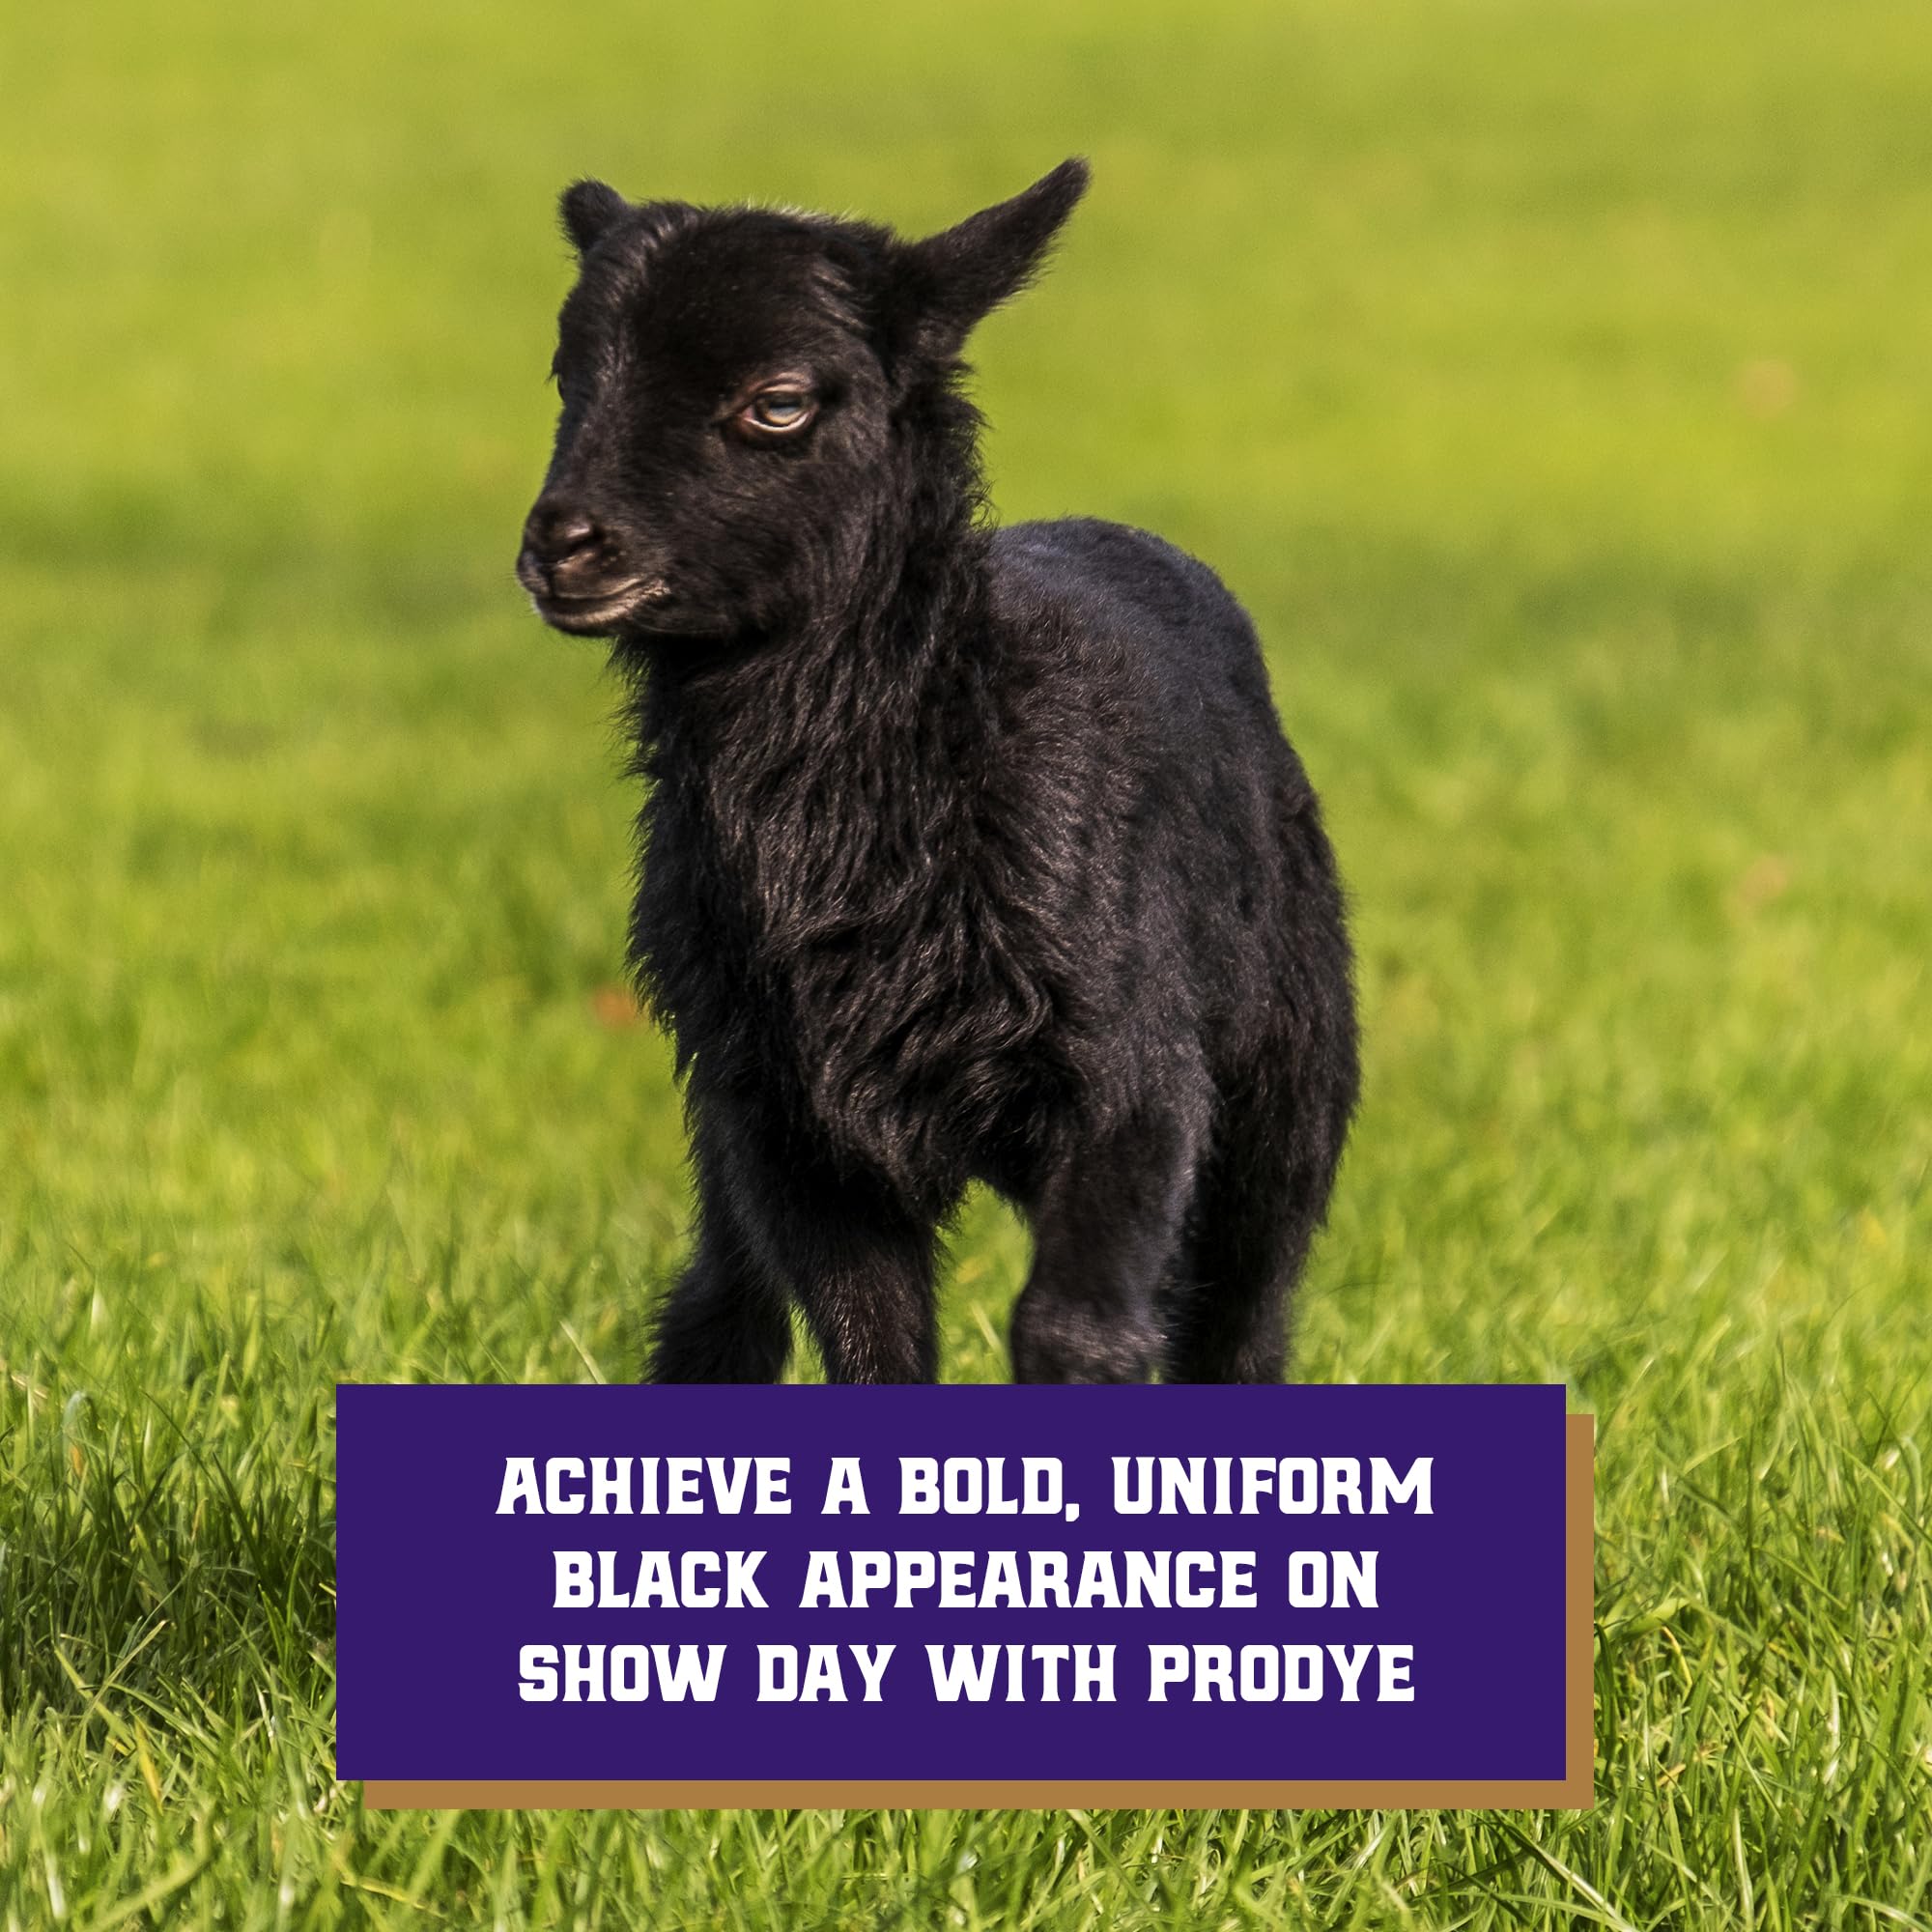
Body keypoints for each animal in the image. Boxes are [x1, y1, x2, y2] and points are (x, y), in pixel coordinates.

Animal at [516, 159, 1359, 1383]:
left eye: (778, 400)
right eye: (568, 373)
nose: (563, 546)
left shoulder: (1133, 1080)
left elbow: (1073, 1324)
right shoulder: (794, 1130)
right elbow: (872, 1348)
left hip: (1281, 1081)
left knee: (1243, 1315)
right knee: (719, 1304)